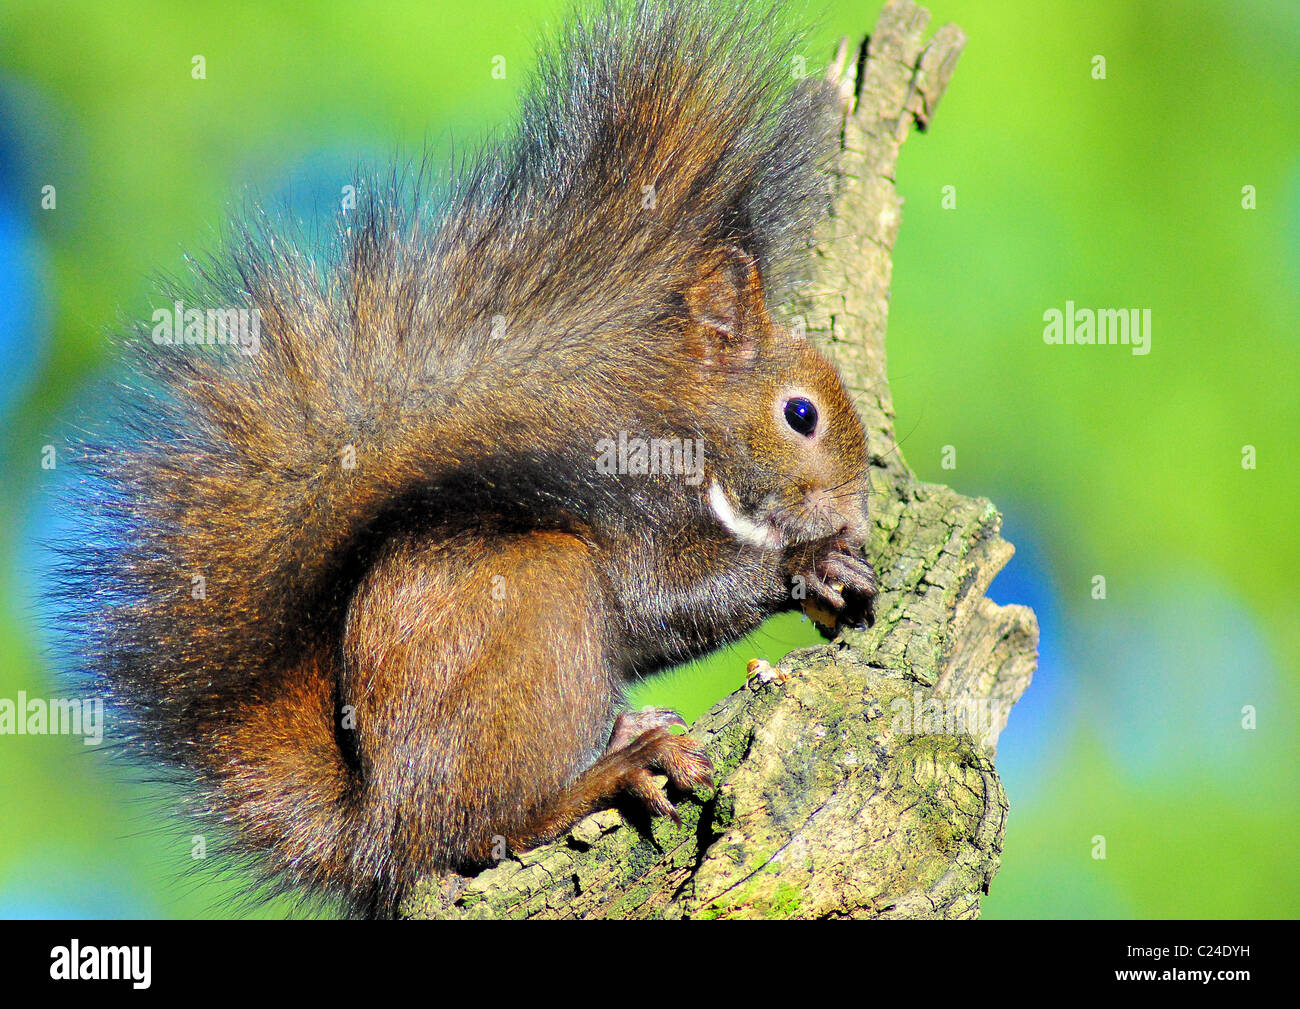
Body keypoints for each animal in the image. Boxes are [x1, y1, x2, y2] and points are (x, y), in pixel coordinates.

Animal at [53, 0, 877, 918]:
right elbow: (670, 596)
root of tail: (377, 824)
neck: (686, 437)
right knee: (491, 825)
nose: (857, 513)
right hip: (539, 606)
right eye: (800, 414)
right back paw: (616, 769)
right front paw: (809, 563)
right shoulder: (626, 504)